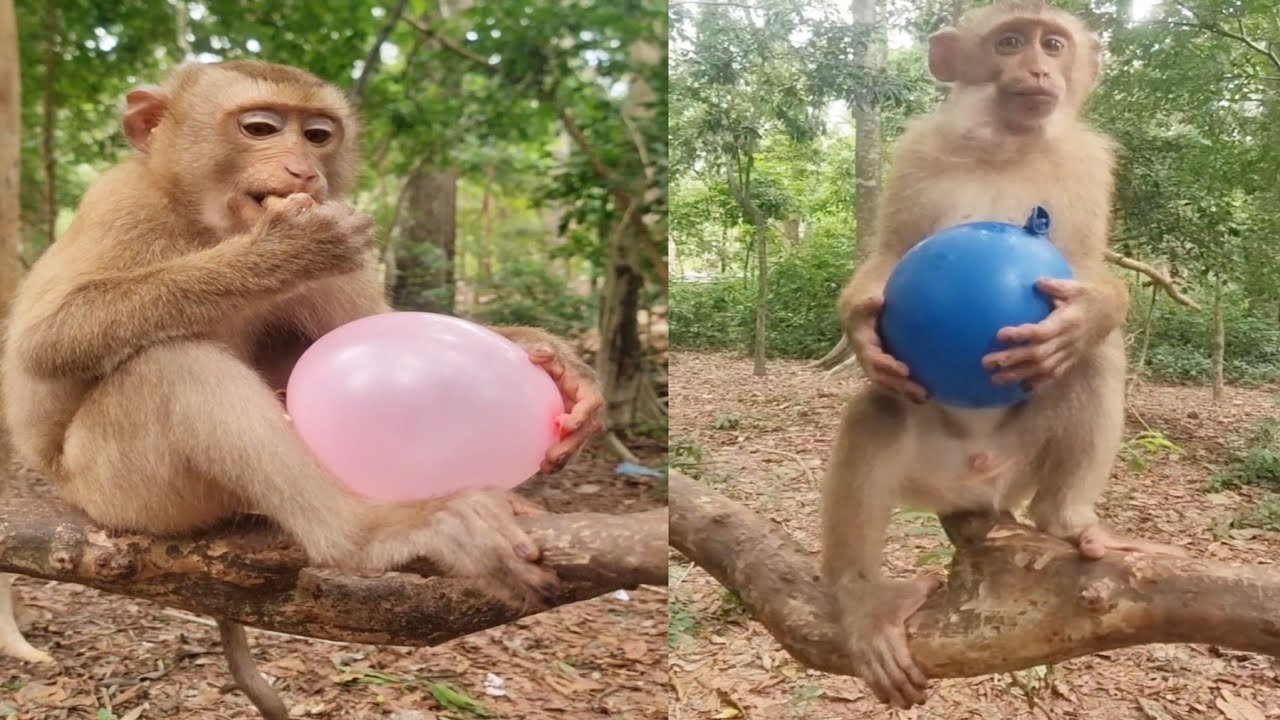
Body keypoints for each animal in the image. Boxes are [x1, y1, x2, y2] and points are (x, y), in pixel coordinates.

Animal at [0, 61, 605, 683]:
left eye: (318, 135)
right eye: (261, 129)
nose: (304, 171)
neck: (211, 227)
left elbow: (372, 324)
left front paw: (561, 363)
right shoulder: (120, 202)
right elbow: (45, 339)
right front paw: (288, 250)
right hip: (115, 493)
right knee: (172, 370)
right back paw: (363, 535)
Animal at [820, 2, 1181, 709]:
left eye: (1053, 44)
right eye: (1010, 42)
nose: (1038, 68)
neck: (1008, 144)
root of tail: (977, 484)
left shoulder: (1084, 162)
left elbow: (1088, 269)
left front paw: (1086, 315)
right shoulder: (918, 150)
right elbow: (891, 250)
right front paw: (862, 330)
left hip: (1021, 466)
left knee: (1094, 358)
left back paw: (1068, 521)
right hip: (928, 475)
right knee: (881, 407)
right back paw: (862, 600)